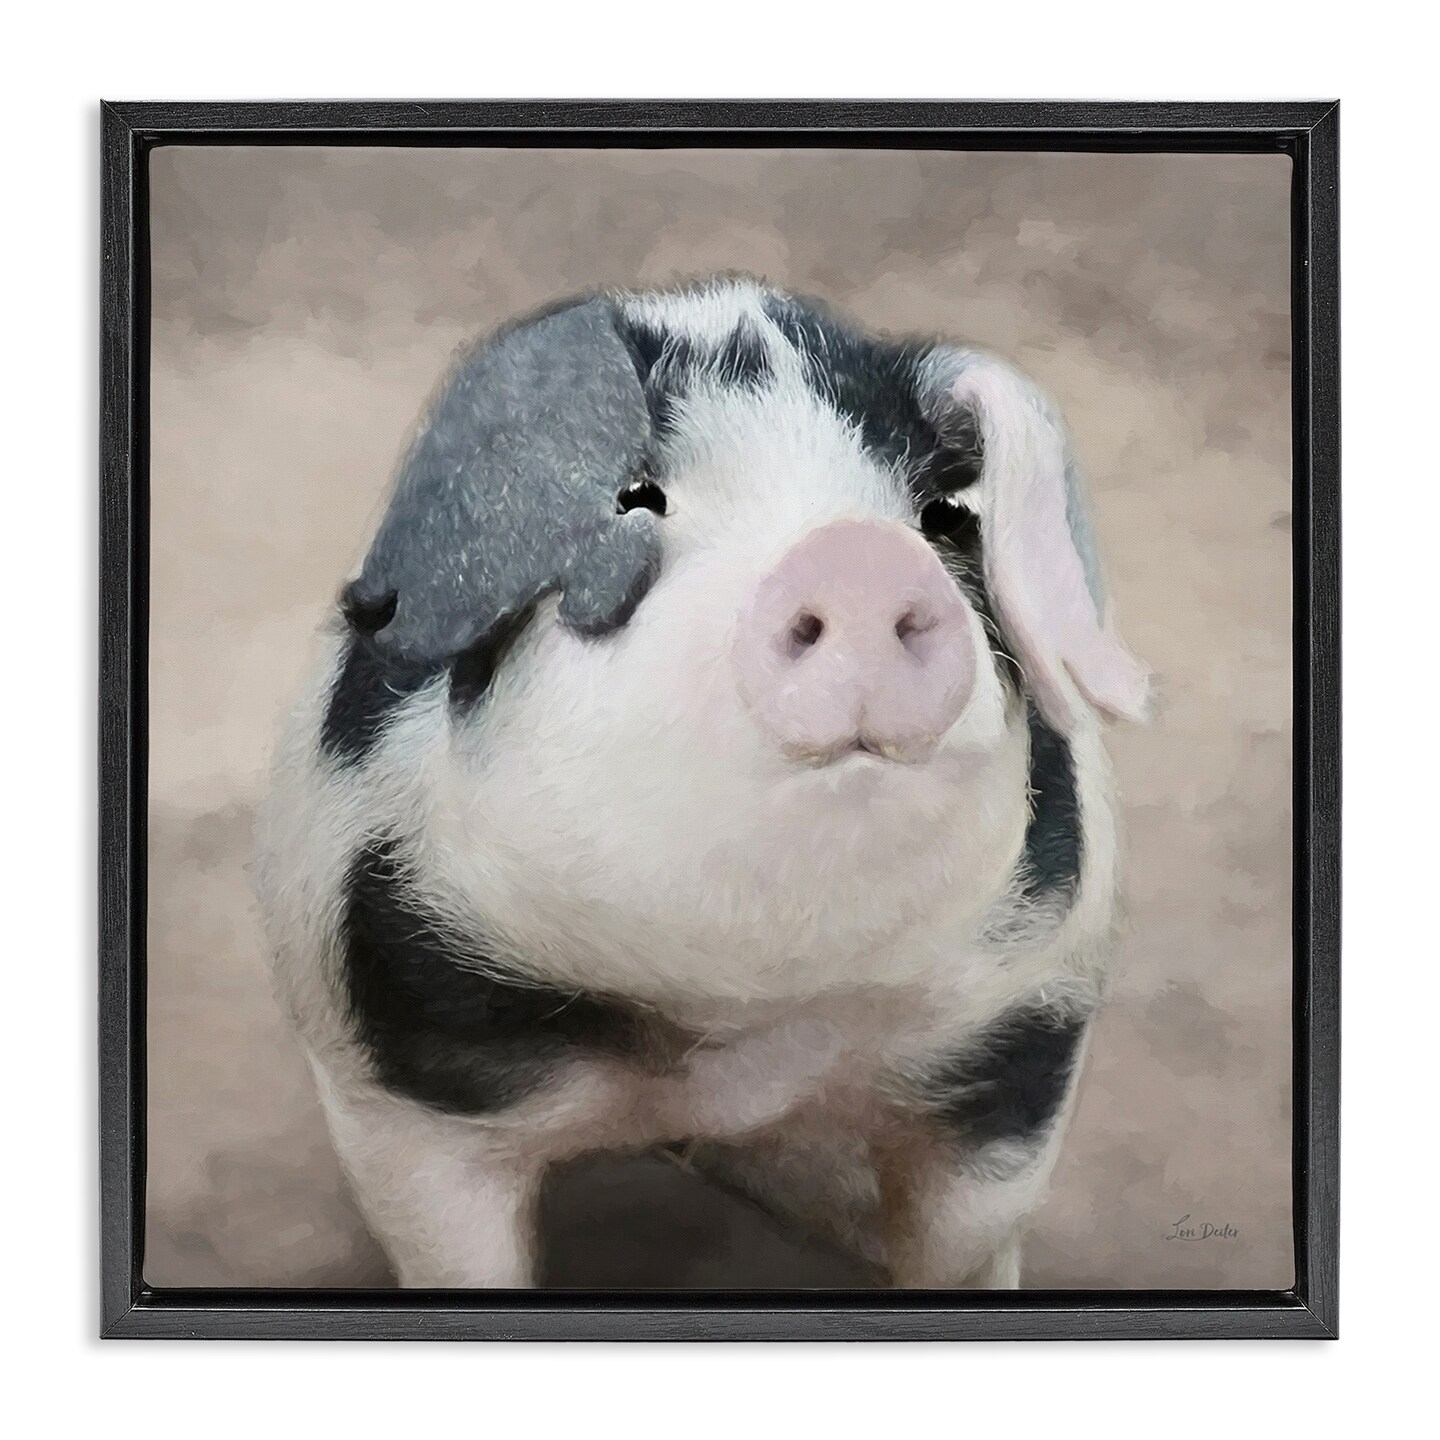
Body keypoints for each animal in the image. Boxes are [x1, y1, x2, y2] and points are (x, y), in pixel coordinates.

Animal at [255, 278, 1149, 1289]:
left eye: (939, 515)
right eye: (637, 499)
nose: (856, 556)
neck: (742, 1035)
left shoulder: (1022, 1042)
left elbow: (965, 1244)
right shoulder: (400, 1087)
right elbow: (457, 1252)